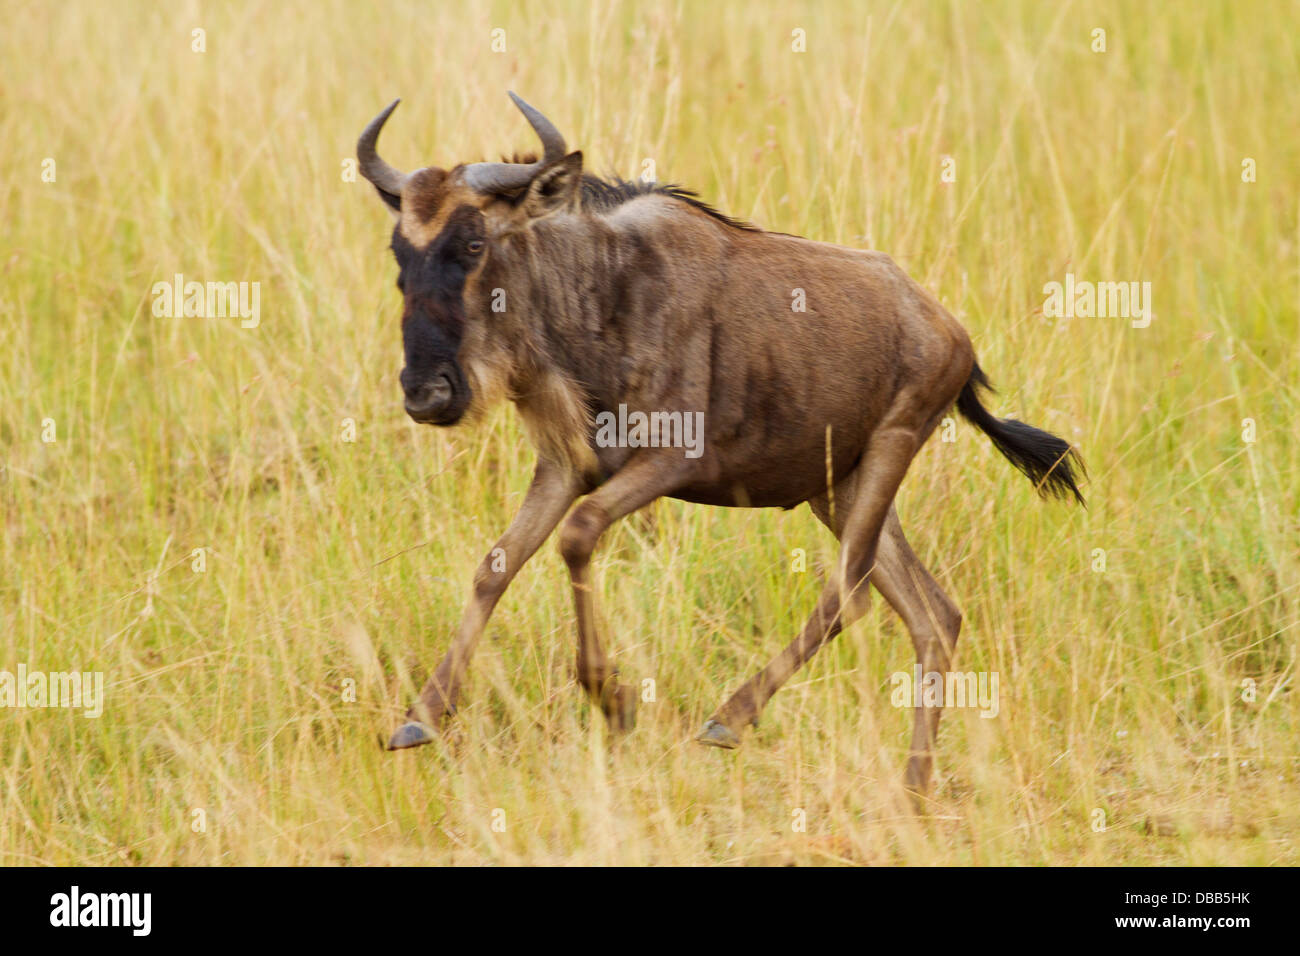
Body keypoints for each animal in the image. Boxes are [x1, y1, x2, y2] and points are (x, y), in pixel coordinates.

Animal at [358, 92, 1084, 800]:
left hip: (888, 451)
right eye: (400, 255)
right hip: (836, 488)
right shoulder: (565, 466)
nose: (426, 394)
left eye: (474, 241)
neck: (604, 289)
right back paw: (912, 789)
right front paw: (421, 718)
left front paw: (614, 701)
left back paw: (731, 718)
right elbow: (496, 565)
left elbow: (579, 533)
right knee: (934, 615)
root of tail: (953, 333)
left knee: (851, 591)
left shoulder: (669, 461)